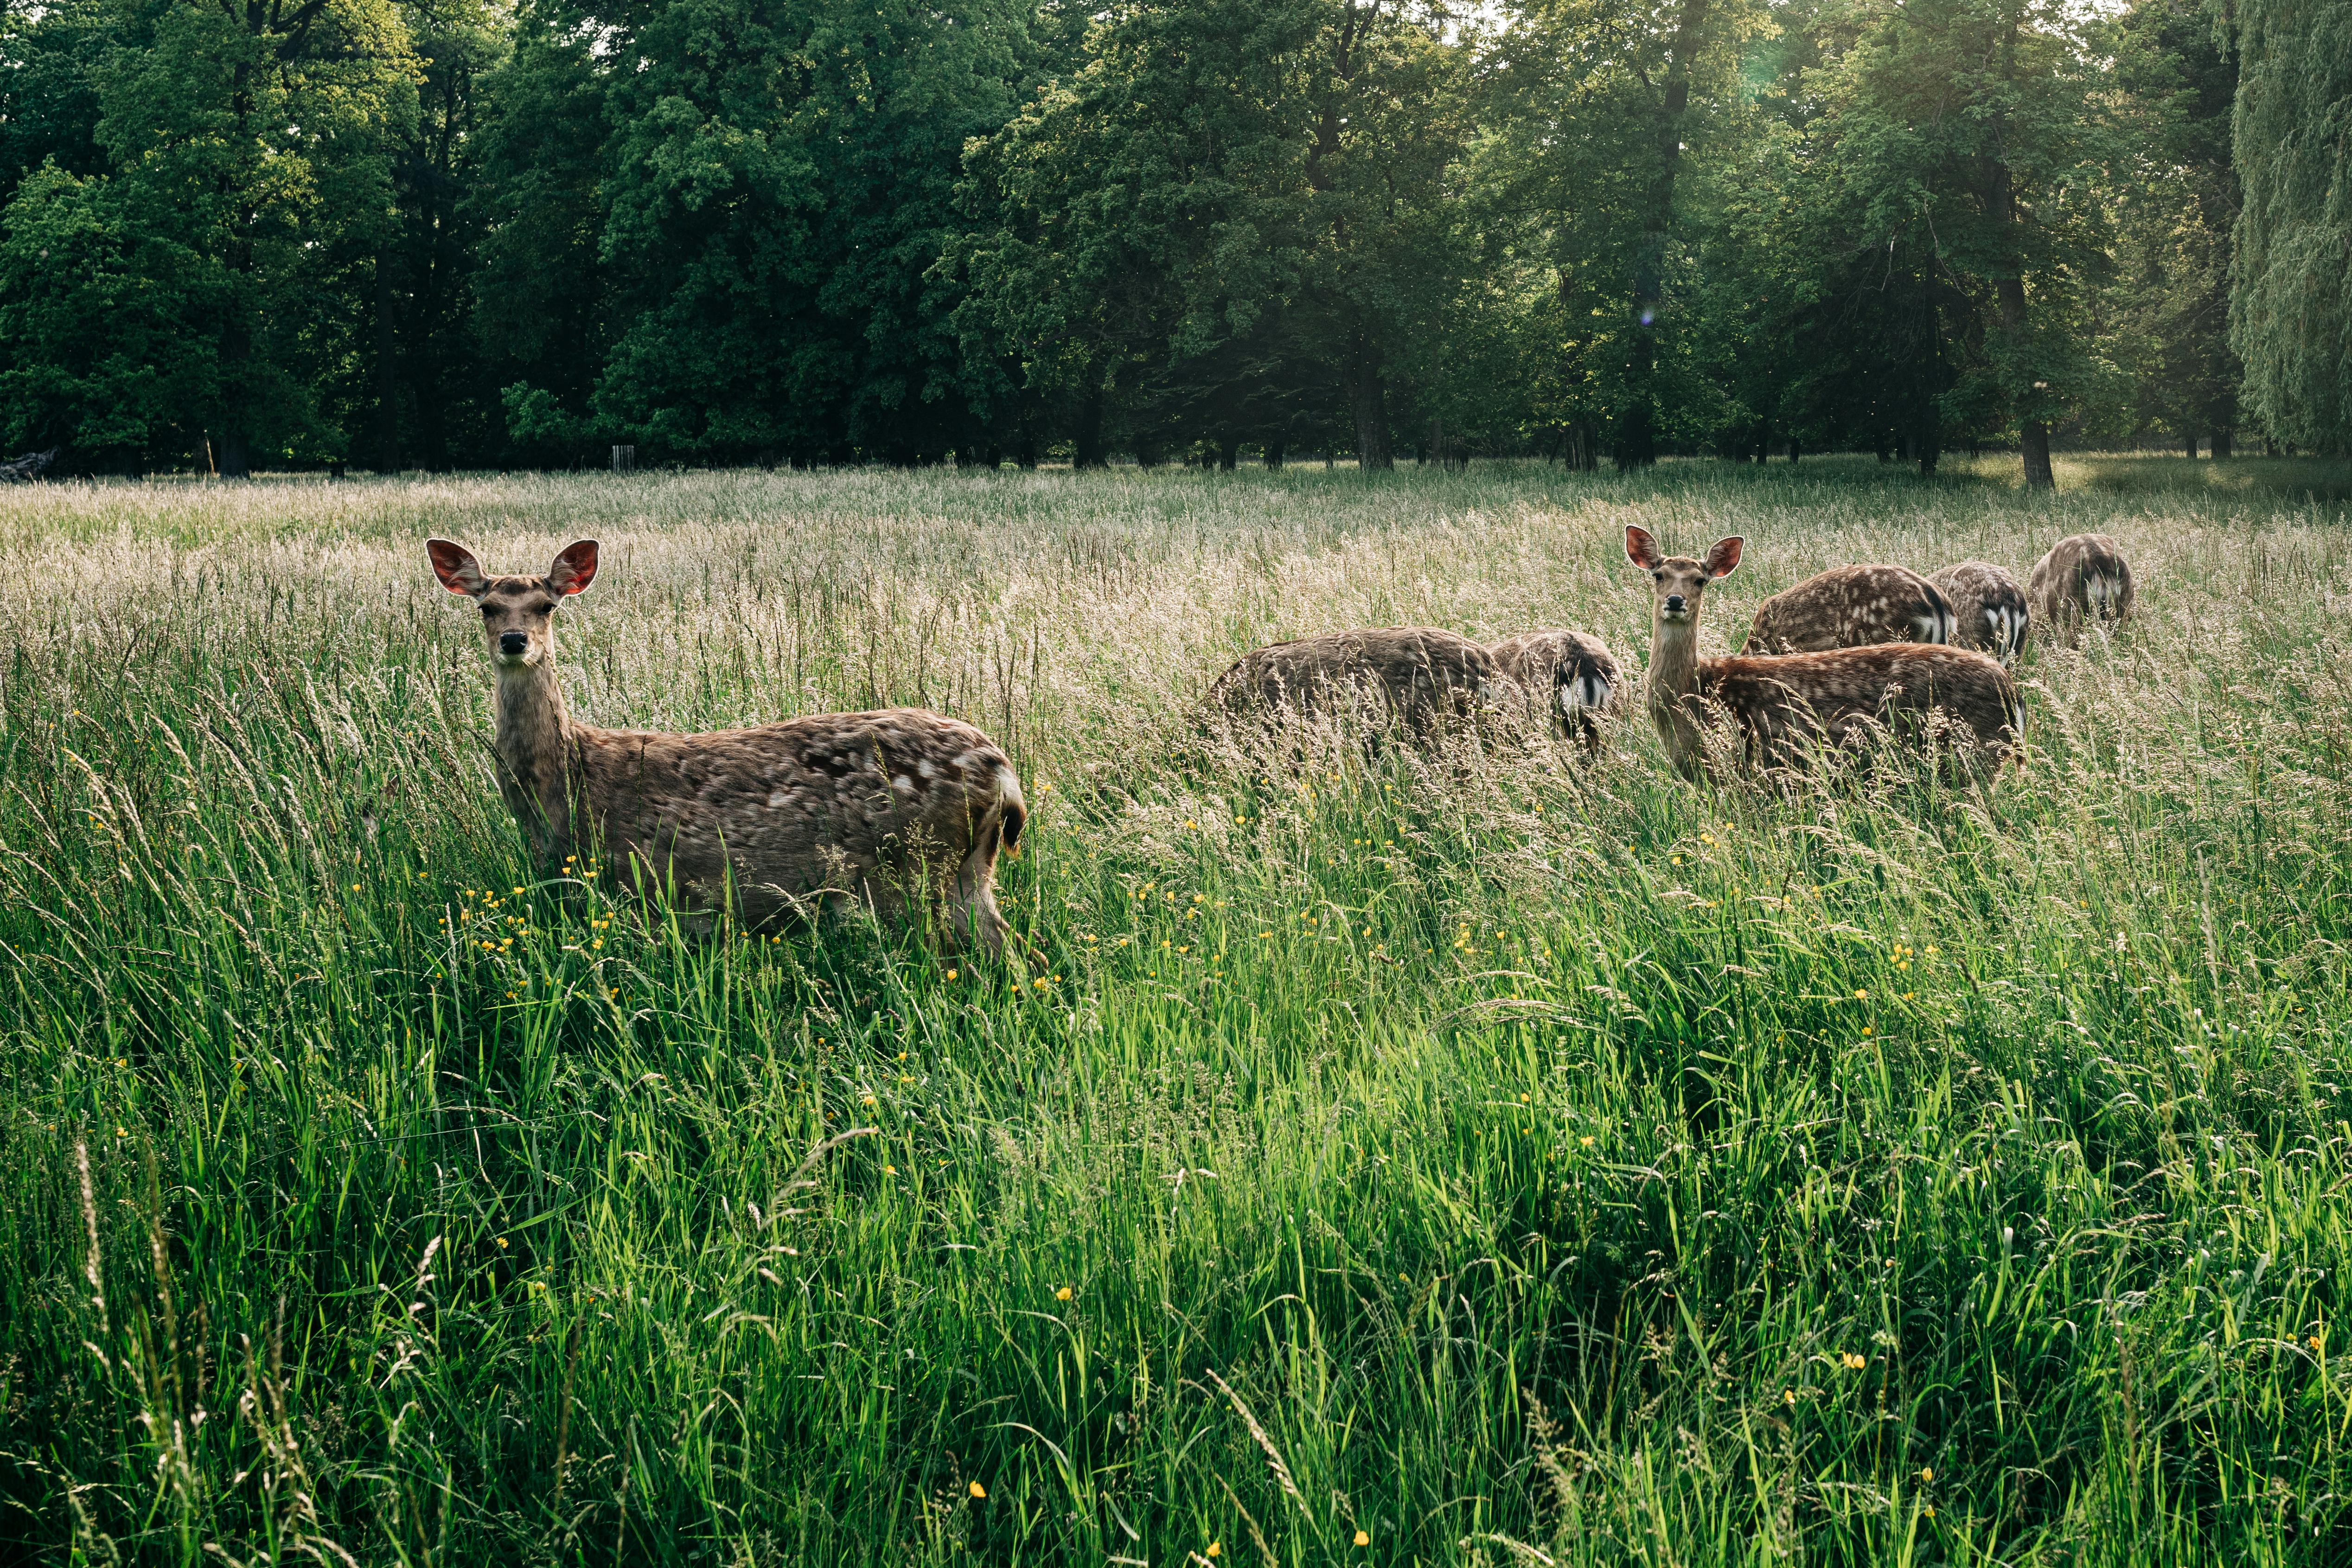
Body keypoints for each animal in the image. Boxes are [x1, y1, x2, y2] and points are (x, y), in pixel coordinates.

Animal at [427, 538, 1027, 953]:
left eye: (547, 606)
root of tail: (1001, 770)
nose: (514, 641)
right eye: (486, 607)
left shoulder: (639, 886)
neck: (564, 788)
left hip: (916, 866)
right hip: (968, 870)